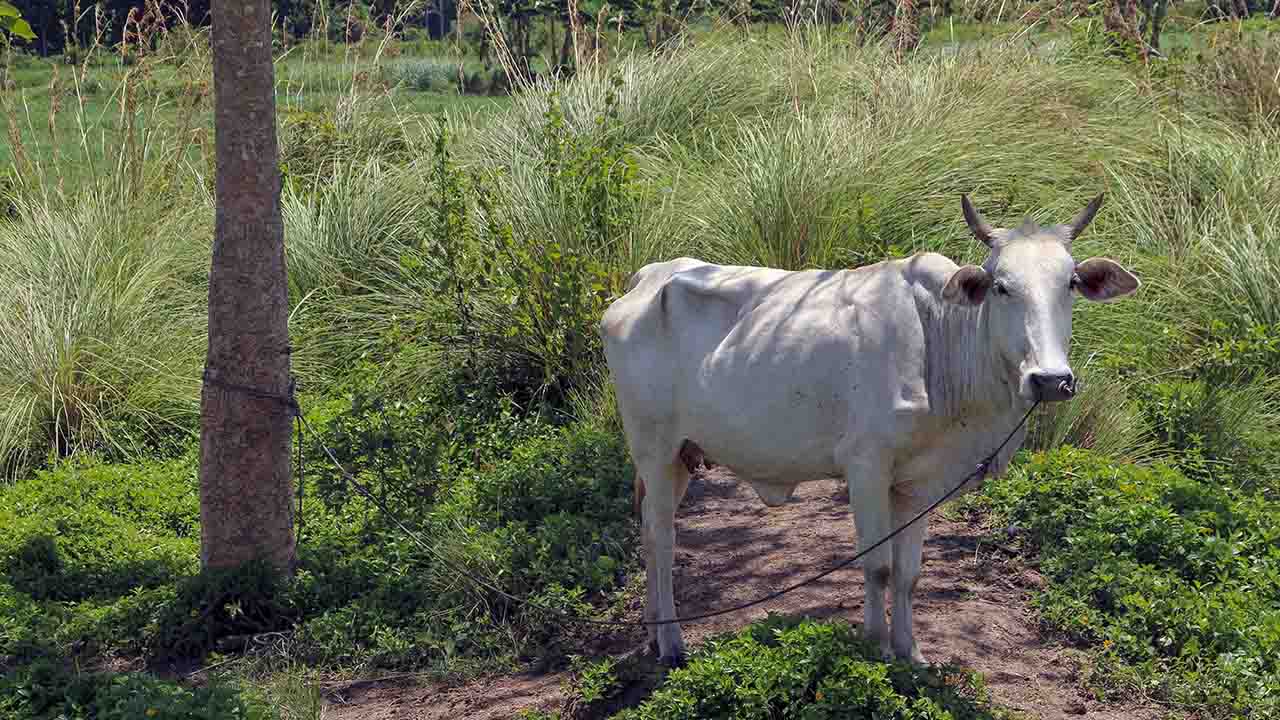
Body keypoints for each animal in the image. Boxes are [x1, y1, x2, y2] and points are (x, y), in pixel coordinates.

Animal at [599, 194, 1140, 666]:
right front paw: (876, 646)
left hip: (683, 455)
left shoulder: (920, 483)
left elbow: (908, 574)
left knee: (650, 532)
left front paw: (910, 652)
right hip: (654, 447)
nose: (1050, 379)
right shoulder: (866, 468)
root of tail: (649, 277)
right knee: (661, 537)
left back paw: (653, 633)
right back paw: (671, 643)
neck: (939, 344)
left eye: (1070, 283)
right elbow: (877, 567)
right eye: (1001, 286)